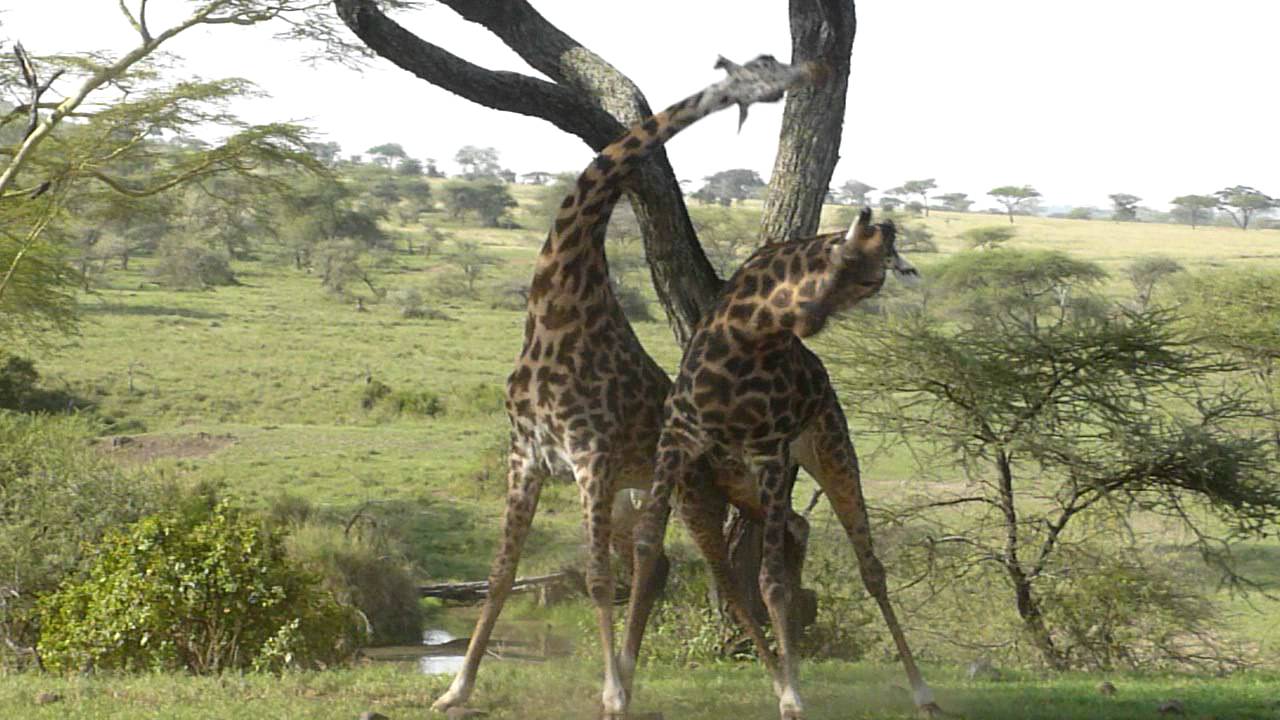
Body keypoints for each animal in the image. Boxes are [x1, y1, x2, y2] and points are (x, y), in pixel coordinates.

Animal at [431, 54, 820, 718]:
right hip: (645, 496)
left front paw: (609, 689)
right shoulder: (526, 456)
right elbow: (503, 571)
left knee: (738, 558)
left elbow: (595, 578)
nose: (805, 74)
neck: (555, 307)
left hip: (695, 489)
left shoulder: (591, 457)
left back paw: (782, 684)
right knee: (673, 561)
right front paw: (456, 688)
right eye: (763, 71)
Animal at [621, 208, 943, 719]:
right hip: (731, 481)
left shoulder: (770, 452)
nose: (810, 321)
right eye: (843, 258)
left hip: (828, 450)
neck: (743, 339)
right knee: (782, 536)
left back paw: (921, 693)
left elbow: (769, 579)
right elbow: (647, 548)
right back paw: (785, 668)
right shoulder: (676, 442)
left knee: (869, 568)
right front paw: (617, 689)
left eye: (872, 282)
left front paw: (793, 699)